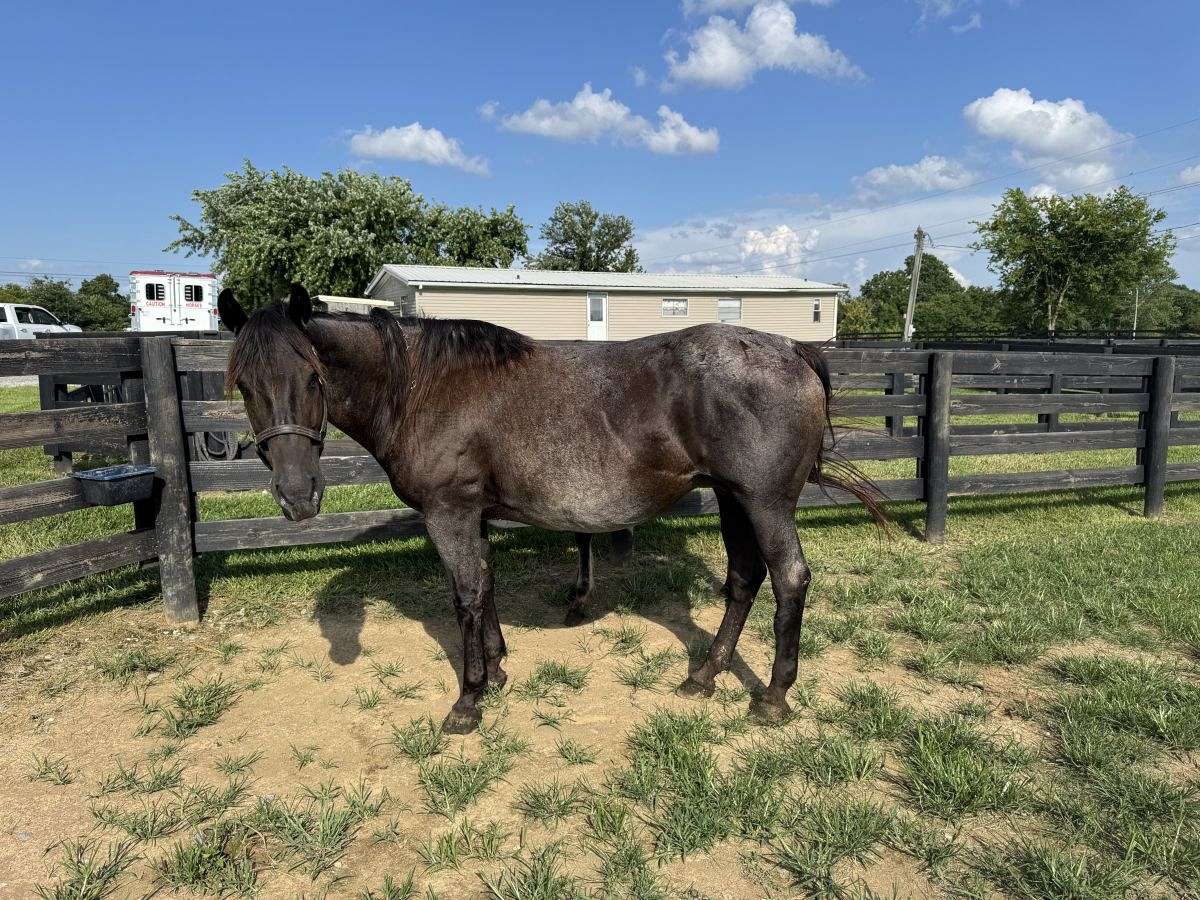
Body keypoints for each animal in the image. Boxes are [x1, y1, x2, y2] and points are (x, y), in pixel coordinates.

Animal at [217, 284, 884, 734]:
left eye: (312, 377)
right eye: (243, 384)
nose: (298, 496)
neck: (422, 387)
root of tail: (793, 349)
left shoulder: (449, 514)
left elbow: (465, 597)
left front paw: (468, 700)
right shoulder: (474, 516)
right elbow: (485, 587)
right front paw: (497, 671)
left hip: (764, 502)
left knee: (789, 578)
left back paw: (773, 696)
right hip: (731, 498)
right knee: (744, 579)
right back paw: (704, 676)